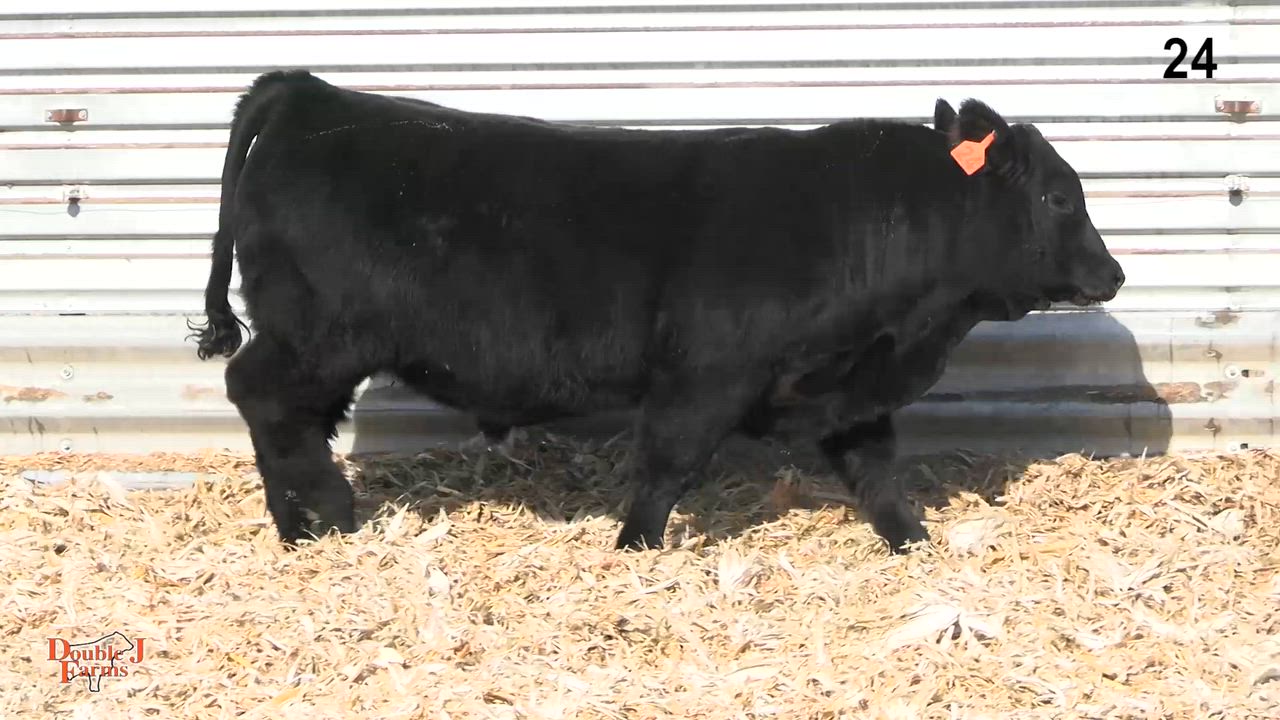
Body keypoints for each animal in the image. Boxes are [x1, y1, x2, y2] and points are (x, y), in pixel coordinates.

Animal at [190, 69, 1124, 554]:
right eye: (1057, 195)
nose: (1112, 274)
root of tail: (311, 93)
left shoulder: (848, 389)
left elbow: (877, 474)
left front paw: (912, 542)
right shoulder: (704, 376)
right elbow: (666, 467)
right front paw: (634, 548)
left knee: (283, 414)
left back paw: (302, 522)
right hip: (317, 334)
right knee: (260, 395)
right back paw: (327, 518)